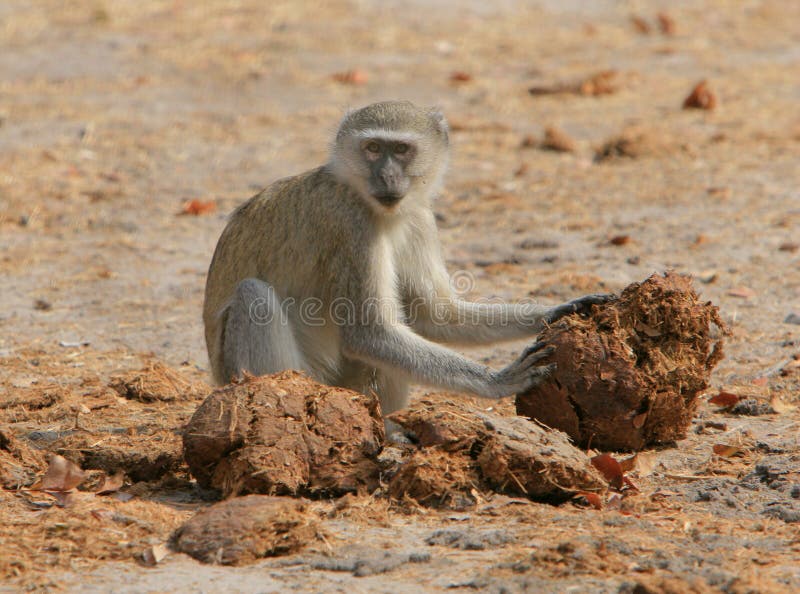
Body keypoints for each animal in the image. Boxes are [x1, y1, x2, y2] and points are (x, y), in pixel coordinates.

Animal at [203, 101, 609, 440]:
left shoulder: (419, 218)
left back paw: (387, 430)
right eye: (372, 148)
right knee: (253, 295)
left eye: (401, 149)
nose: (386, 176)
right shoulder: (350, 222)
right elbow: (370, 332)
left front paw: (555, 311)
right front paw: (498, 379)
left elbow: (434, 316)